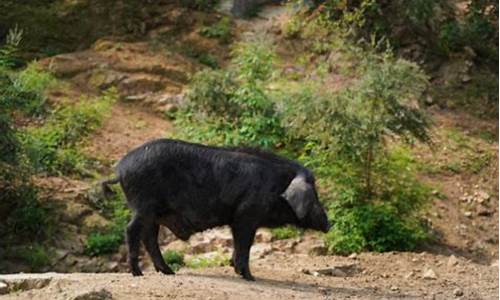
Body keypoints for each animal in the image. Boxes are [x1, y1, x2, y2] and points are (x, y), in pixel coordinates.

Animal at [101, 139, 330, 280]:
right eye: (315, 195)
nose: (329, 223)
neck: (277, 186)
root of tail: (120, 170)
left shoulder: (238, 219)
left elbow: (239, 245)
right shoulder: (246, 214)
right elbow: (245, 245)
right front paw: (250, 277)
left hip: (153, 213)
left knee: (149, 237)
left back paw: (168, 272)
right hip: (144, 205)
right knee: (132, 230)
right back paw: (138, 273)